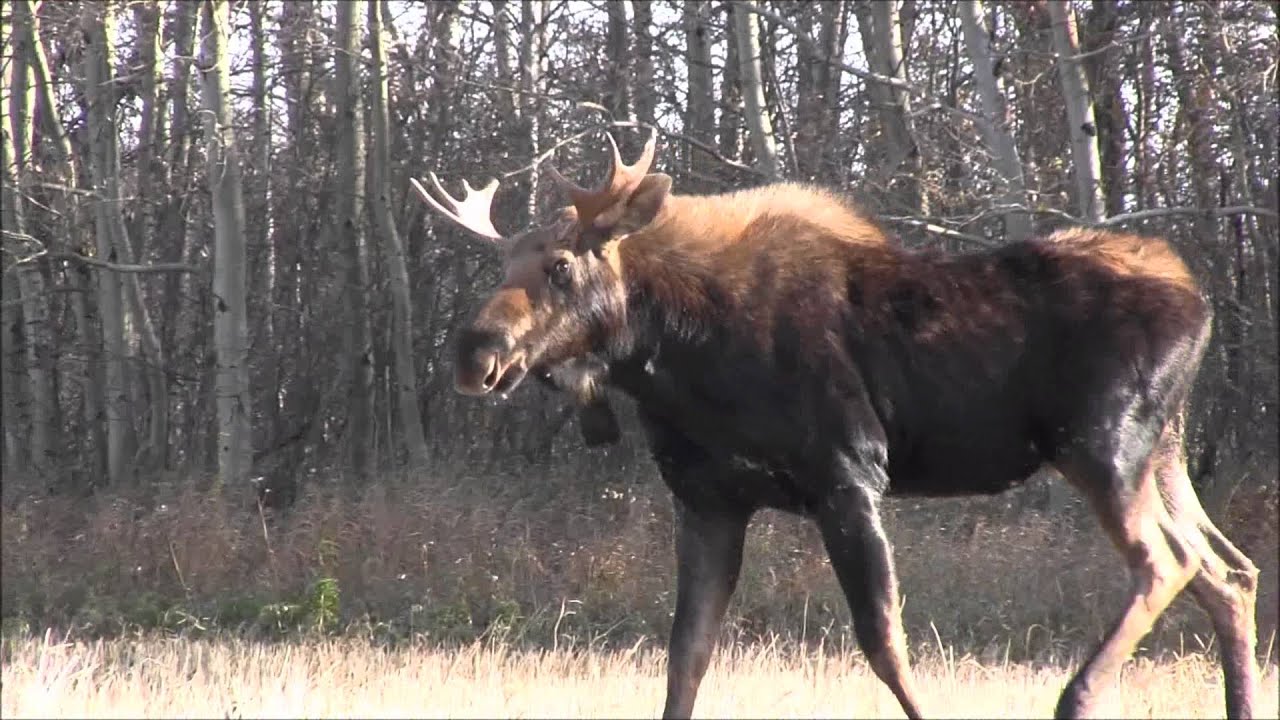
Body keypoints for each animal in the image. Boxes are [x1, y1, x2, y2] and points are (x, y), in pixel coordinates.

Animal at [411, 132, 1261, 719]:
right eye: (504, 264)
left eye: (560, 266)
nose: (473, 352)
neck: (673, 354)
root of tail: (1202, 303)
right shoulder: (709, 501)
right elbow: (685, 654)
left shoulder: (848, 475)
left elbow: (885, 641)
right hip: (1160, 453)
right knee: (1230, 572)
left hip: (1104, 445)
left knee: (1166, 560)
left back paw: (1078, 696)